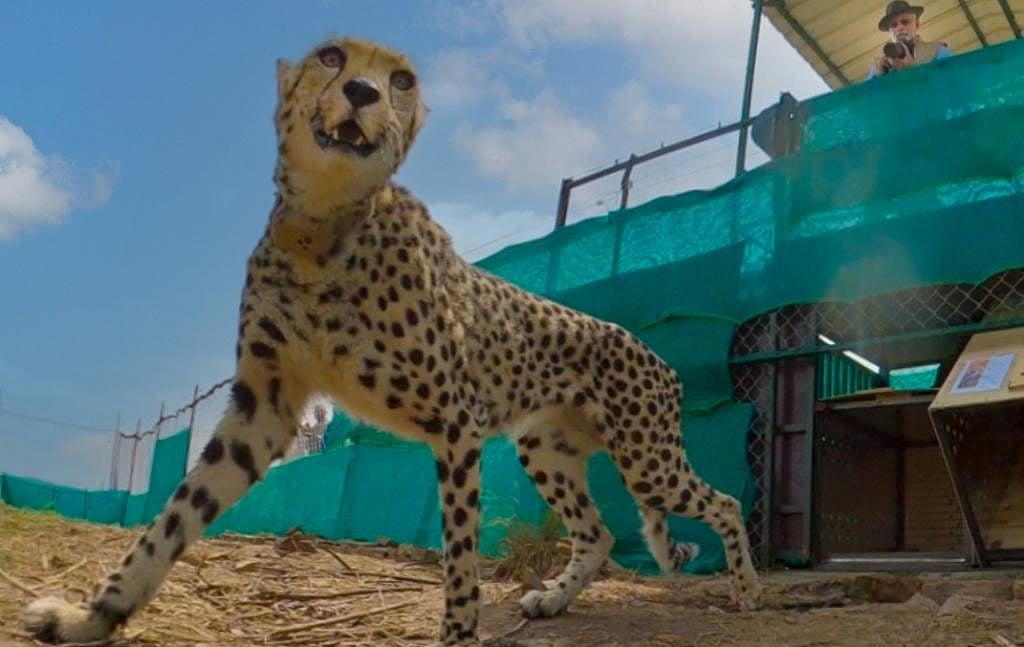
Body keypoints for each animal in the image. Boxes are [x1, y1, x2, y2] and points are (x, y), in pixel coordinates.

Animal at [23, 36, 762, 646]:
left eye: (399, 78)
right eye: (330, 58)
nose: (361, 93)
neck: (322, 226)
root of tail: (655, 354)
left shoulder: (456, 422)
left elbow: (459, 559)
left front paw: (459, 633)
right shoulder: (266, 407)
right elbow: (172, 521)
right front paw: (90, 618)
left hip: (645, 458)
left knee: (723, 502)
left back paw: (748, 589)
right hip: (545, 448)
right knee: (601, 529)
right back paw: (555, 599)